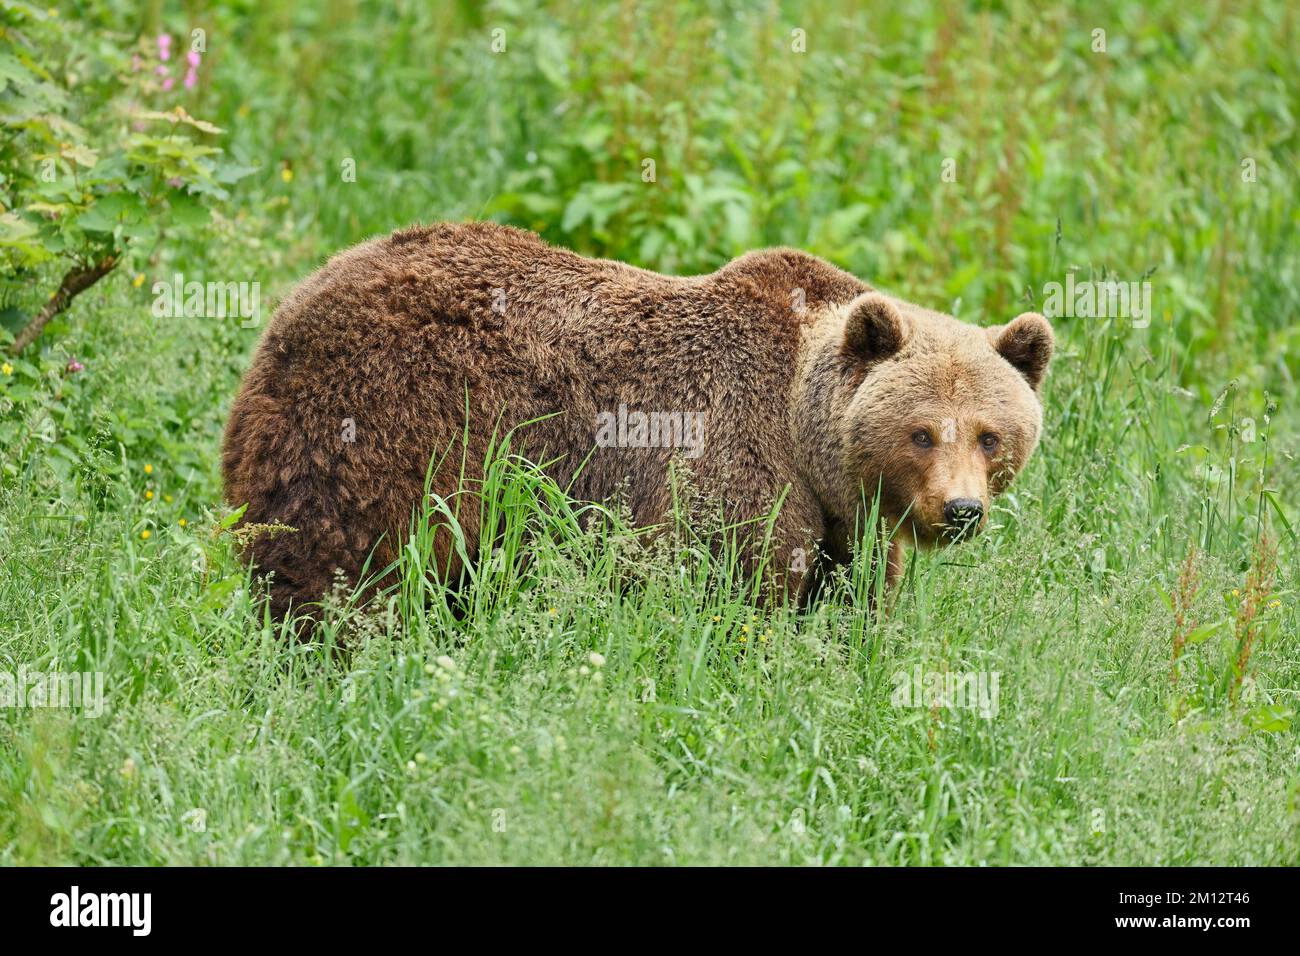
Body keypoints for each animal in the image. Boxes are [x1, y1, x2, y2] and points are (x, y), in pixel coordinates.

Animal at [222, 221, 1053, 619]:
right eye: (922, 431)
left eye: (991, 435)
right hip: (384, 426)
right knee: (342, 565)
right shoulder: (733, 462)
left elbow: (849, 604)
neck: (803, 431)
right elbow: (732, 586)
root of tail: (302, 297)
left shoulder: (848, 524)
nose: (962, 510)